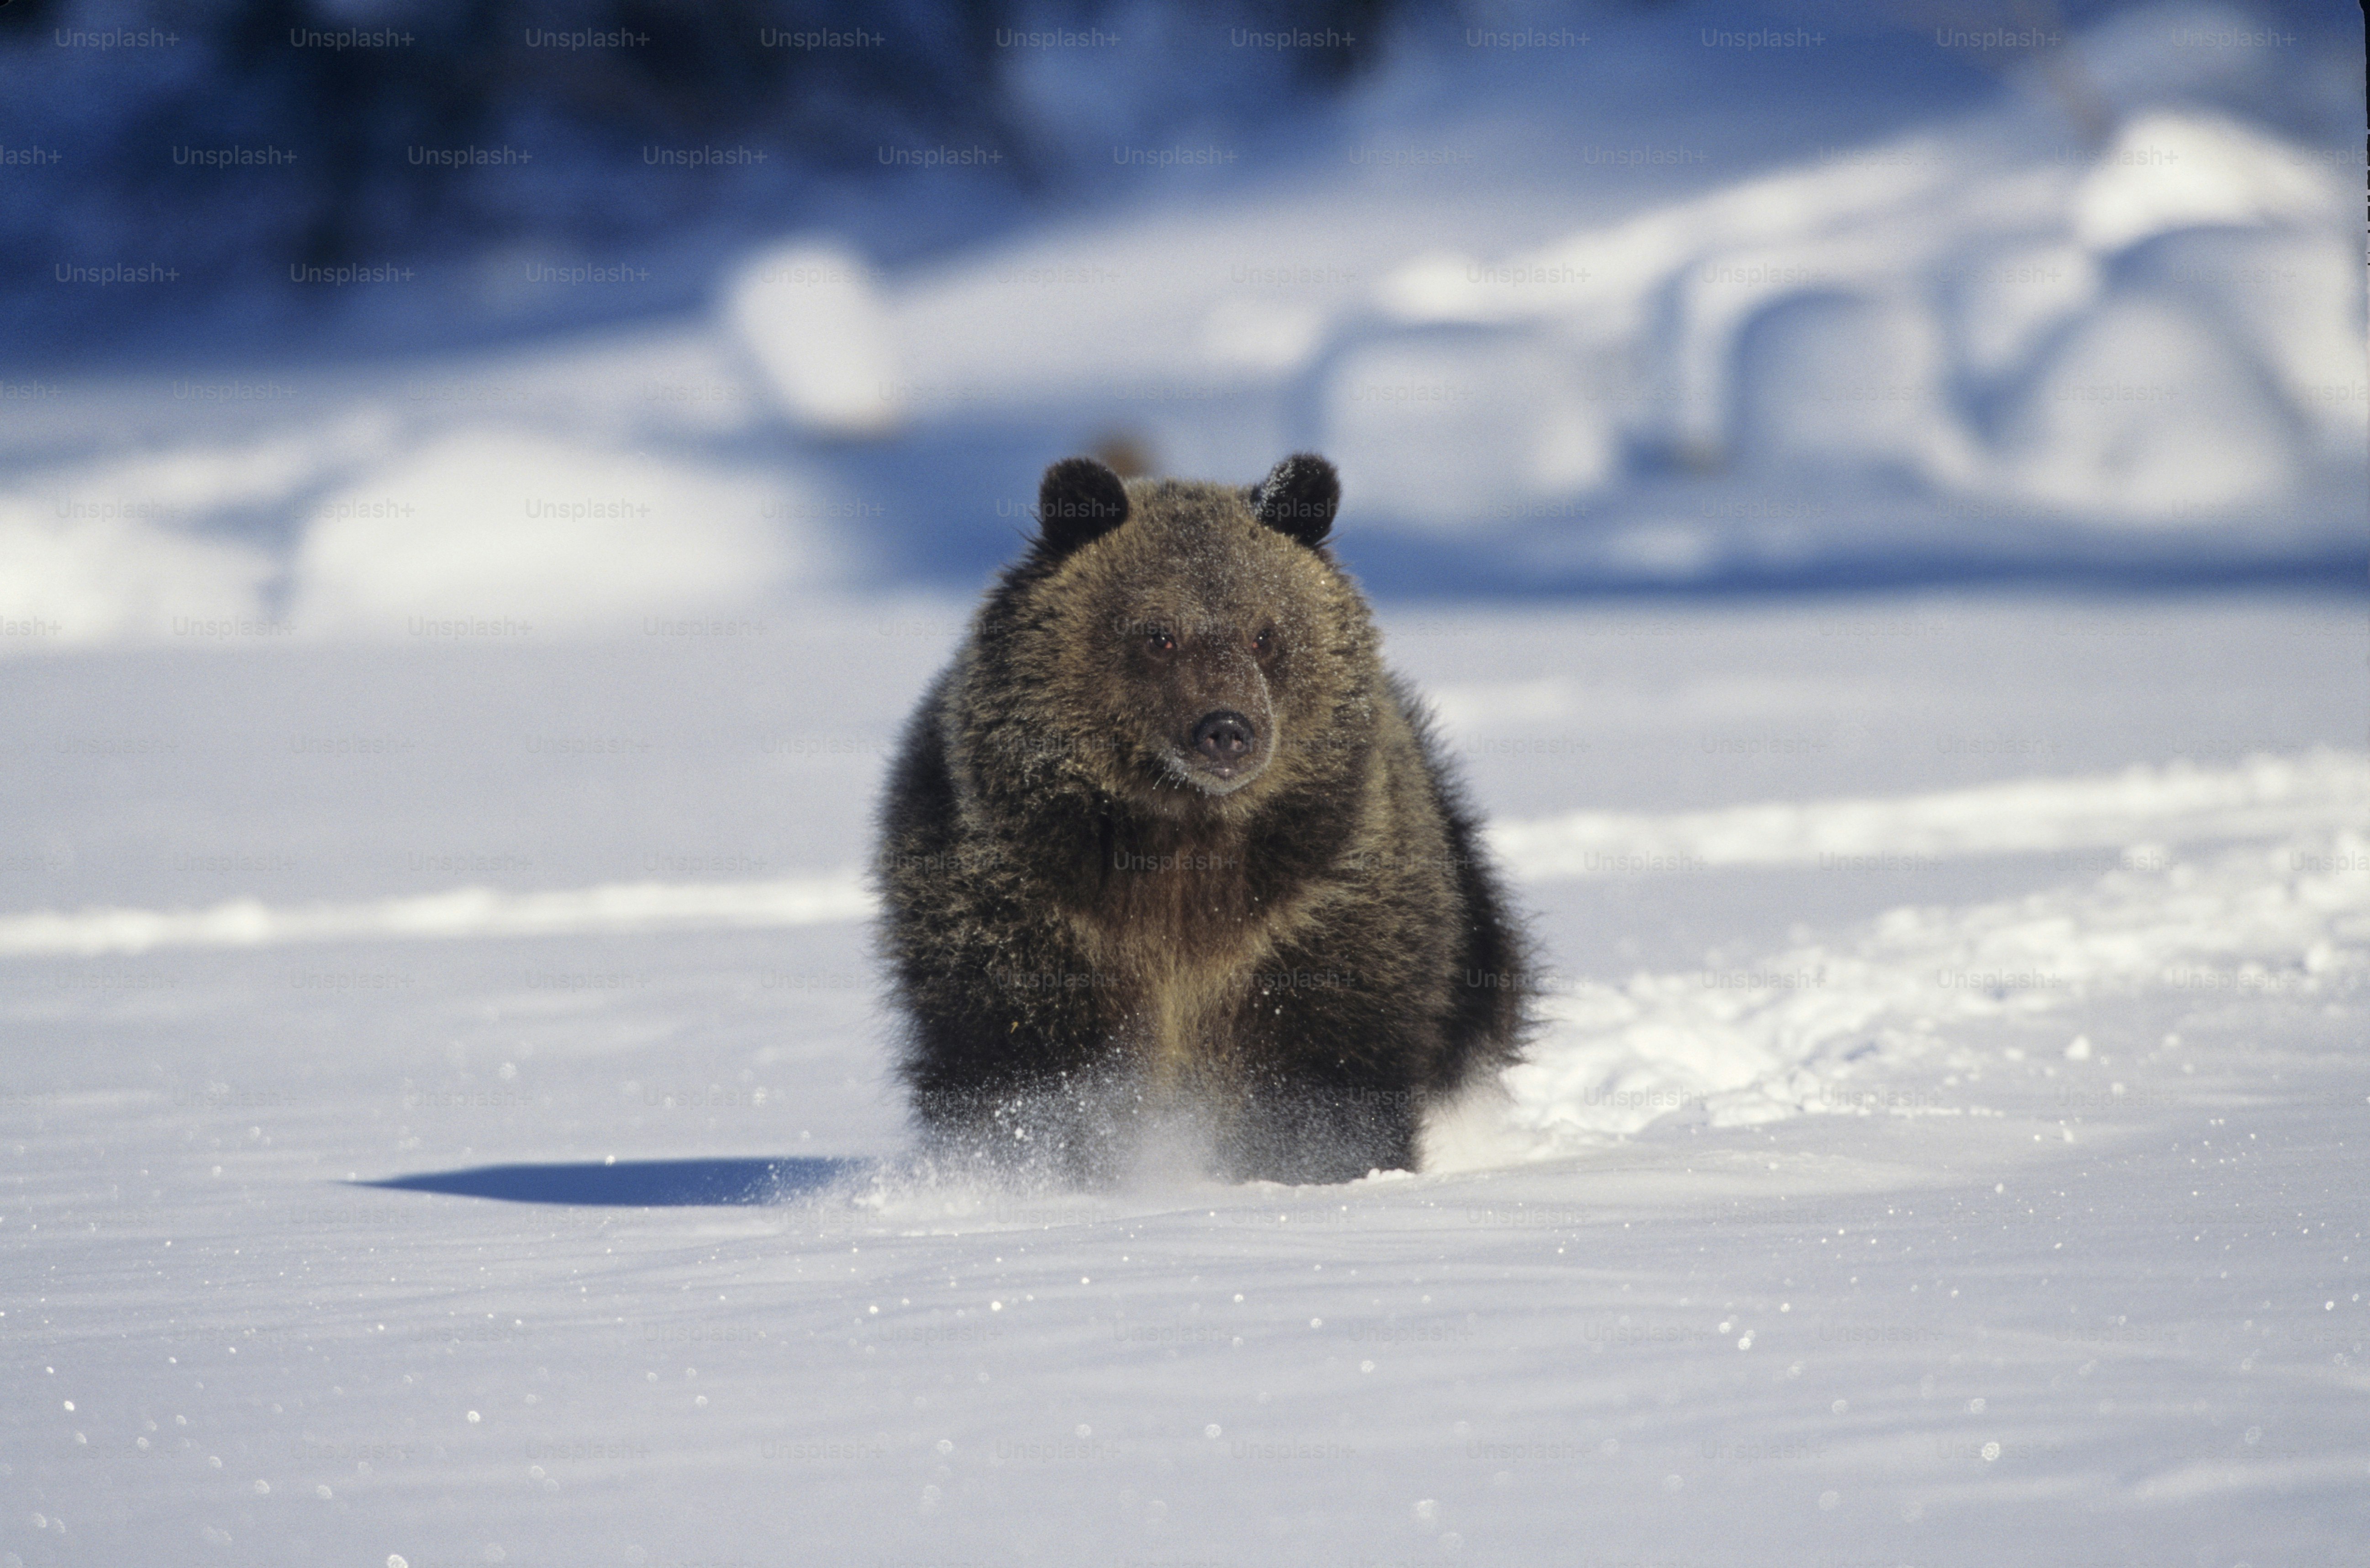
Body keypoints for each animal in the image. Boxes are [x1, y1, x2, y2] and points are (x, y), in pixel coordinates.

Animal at [874, 453, 1534, 1185]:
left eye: (1265, 632)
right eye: (1159, 634)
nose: (1227, 729)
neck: (1182, 832)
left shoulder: (1316, 906)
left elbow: (1326, 1068)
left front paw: (1317, 1169)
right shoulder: (1030, 909)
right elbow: (1025, 1064)